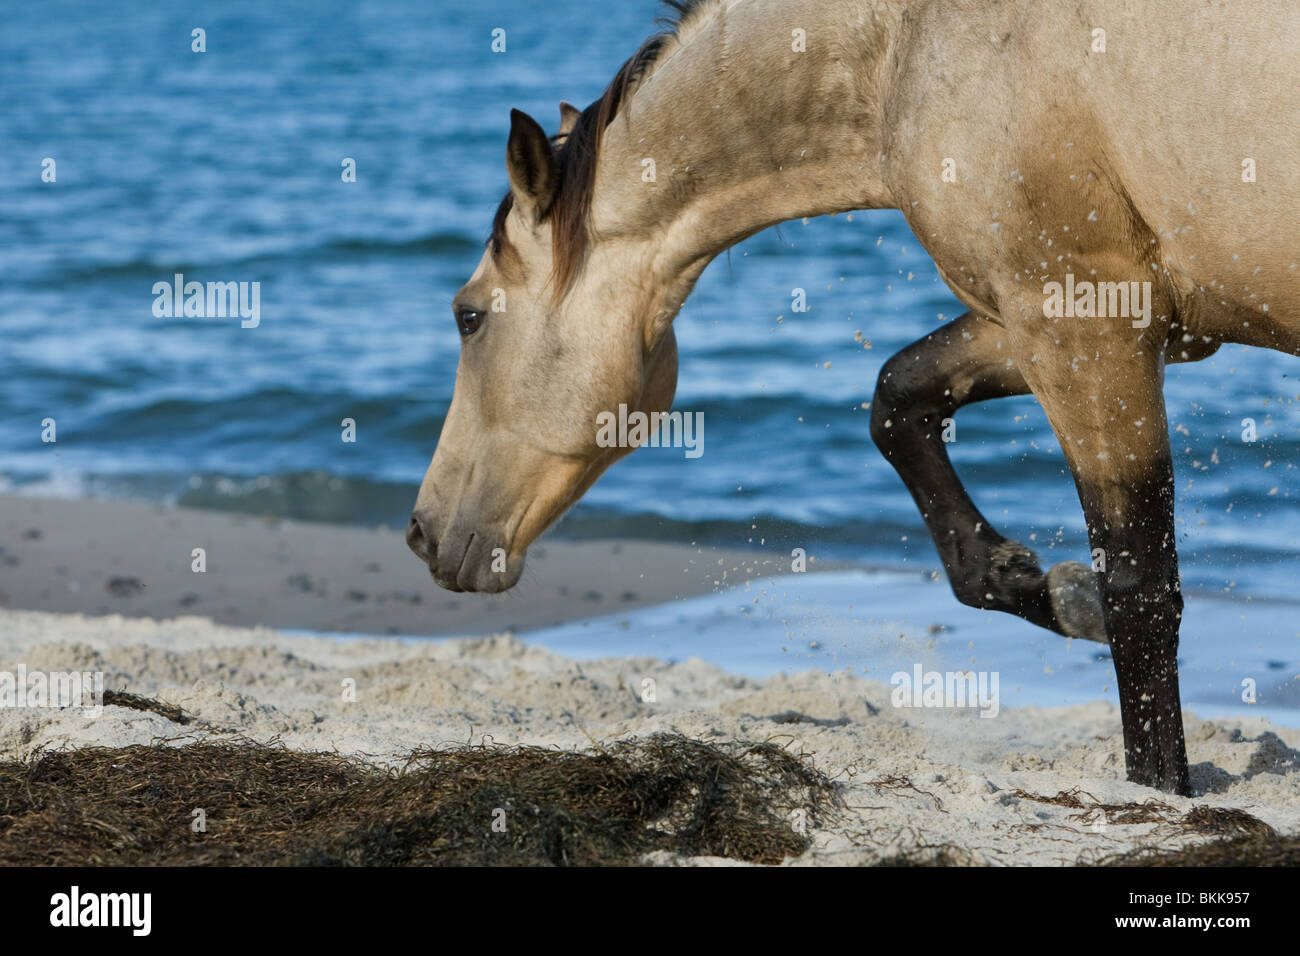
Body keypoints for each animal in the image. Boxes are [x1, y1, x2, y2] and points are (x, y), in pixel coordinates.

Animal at [407, 0, 1300, 795]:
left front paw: (1162, 789)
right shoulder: (1077, 325)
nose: (422, 534)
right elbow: (898, 406)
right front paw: (1038, 583)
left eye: (467, 316)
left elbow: (1139, 593)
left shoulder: (1082, 326)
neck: (907, 42)